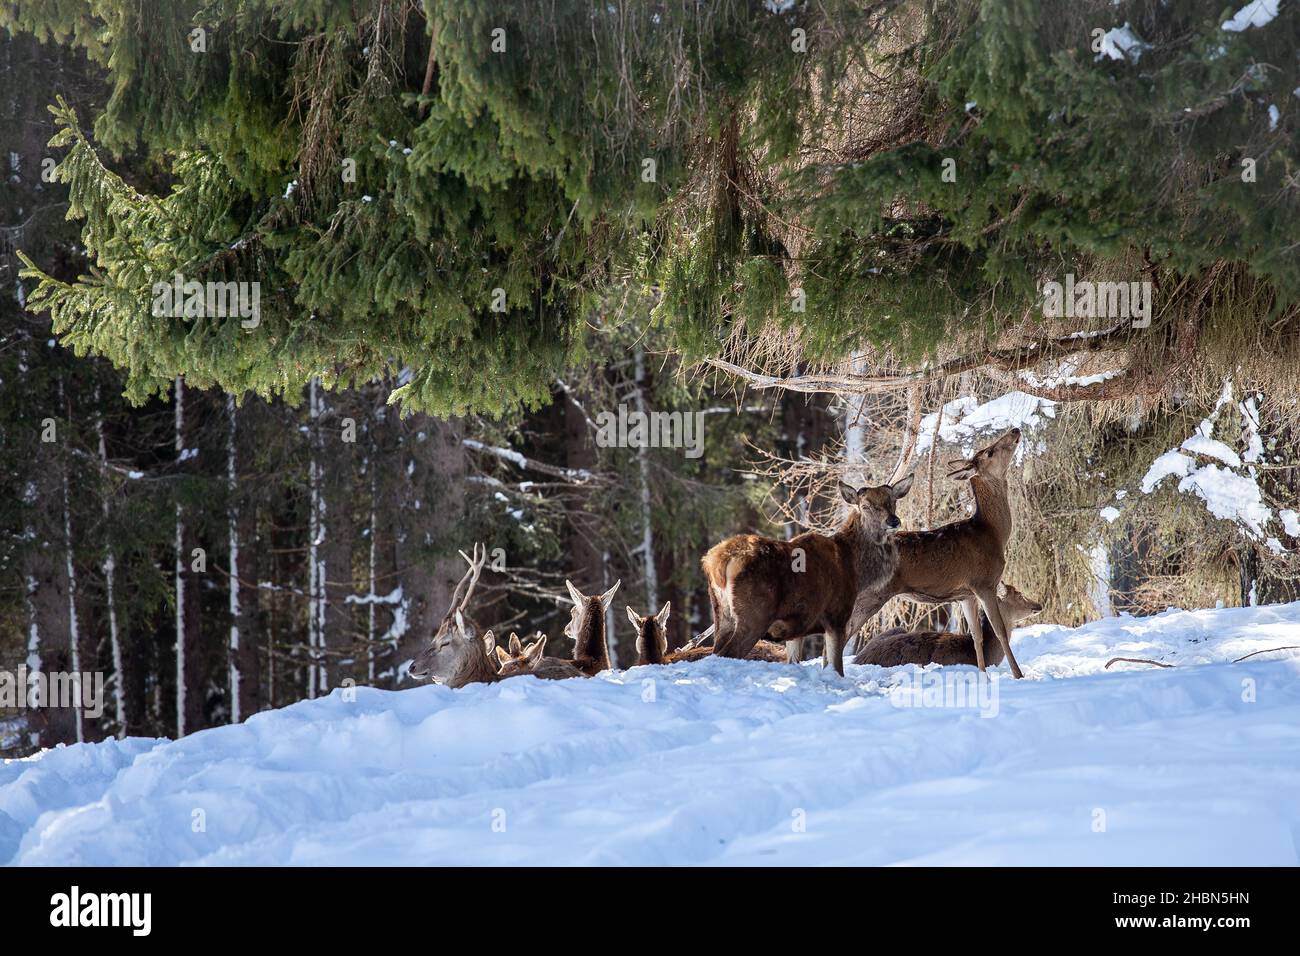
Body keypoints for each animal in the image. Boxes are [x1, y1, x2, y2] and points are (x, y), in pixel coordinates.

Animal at [703, 475, 914, 676]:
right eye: (866, 506)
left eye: (893, 501)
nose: (893, 521)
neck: (856, 571)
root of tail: (717, 561)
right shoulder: (837, 615)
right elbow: (836, 667)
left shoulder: (797, 628)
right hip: (754, 616)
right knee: (727, 654)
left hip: (722, 616)